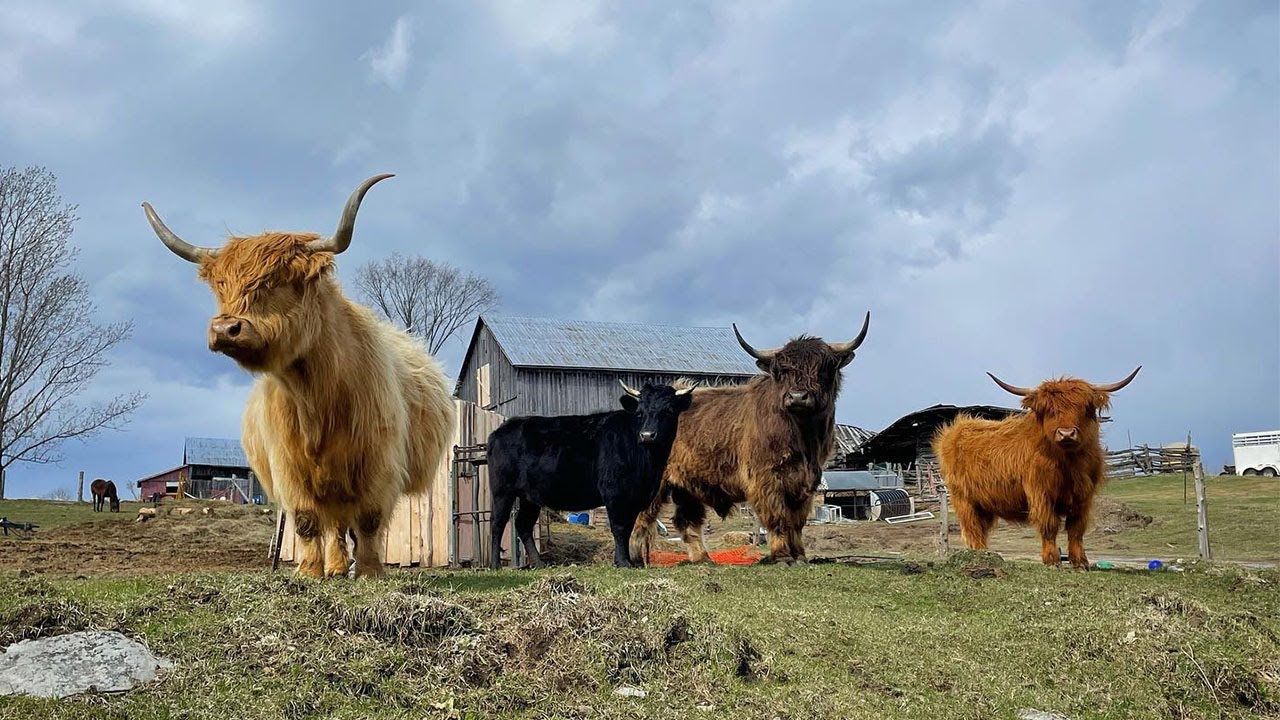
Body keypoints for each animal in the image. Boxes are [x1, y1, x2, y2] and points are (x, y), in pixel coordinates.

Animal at [143, 175, 456, 579]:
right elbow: (308, 520)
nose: (226, 328)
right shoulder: (288, 466)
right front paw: (309, 572)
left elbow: (369, 520)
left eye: (278, 280)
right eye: (222, 286)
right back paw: (335, 568)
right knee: (334, 523)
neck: (315, 395)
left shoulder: (378, 464)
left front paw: (370, 572)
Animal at [486, 380, 695, 569]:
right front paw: (623, 562)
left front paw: (626, 561)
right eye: (639, 412)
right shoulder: (614, 493)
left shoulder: (635, 497)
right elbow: (619, 528)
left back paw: (539, 563)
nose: (647, 435)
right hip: (502, 490)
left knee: (523, 524)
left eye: (668, 411)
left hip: (530, 496)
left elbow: (628, 528)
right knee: (497, 523)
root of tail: (501, 429)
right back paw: (495, 565)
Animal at [631, 314, 871, 566]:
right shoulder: (766, 479)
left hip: (686, 485)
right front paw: (783, 557)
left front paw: (800, 556)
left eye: (824, 367)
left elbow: (796, 522)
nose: (797, 397)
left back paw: (703, 559)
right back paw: (633, 559)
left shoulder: (805, 483)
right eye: (781, 370)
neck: (803, 438)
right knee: (639, 516)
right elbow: (778, 519)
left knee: (687, 520)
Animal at [932, 367, 1141, 568]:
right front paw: (1052, 561)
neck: (1069, 465)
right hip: (964, 499)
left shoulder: (1084, 497)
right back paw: (981, 555)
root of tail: (956, 429)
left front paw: (1080, 562)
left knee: (980, 529)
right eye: (1049, 410)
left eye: (1083, 407)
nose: (1066, 433)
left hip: (984, 504)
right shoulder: (1041, 493)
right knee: (972, 529)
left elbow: (1076, 529)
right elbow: (1049, 526)